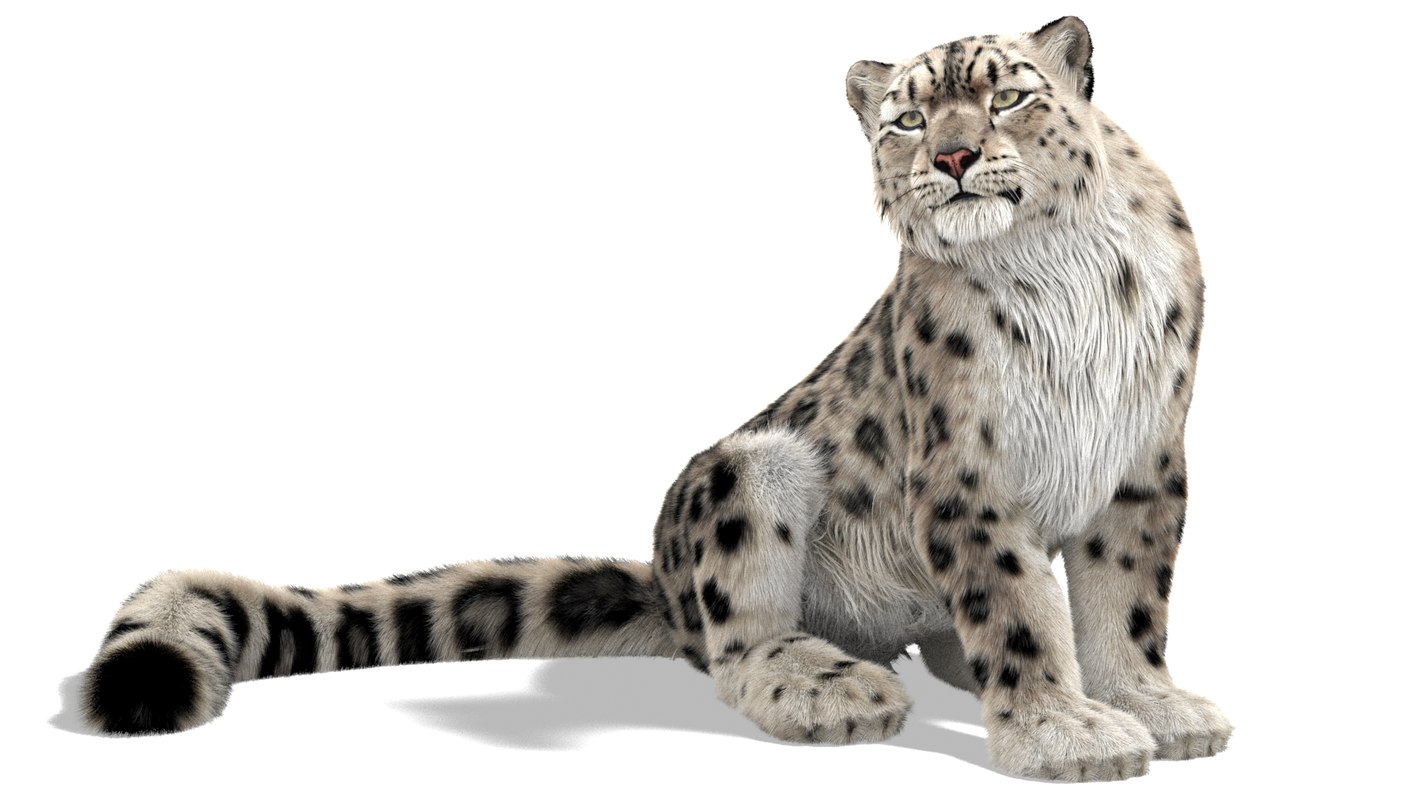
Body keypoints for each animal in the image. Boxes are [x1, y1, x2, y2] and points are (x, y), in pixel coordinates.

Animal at [79, 17, 1232, 781]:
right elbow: (1014, 607)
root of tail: (666, 577)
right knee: (734, 638)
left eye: (1009, 95)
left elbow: (1127, 601)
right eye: (906, 117)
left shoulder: (1148, 460)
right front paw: (1062, 729)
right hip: (744, 471)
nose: (949, 155)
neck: (1060, 277)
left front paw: (1152, 704)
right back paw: (832, 685)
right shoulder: (966, 470)